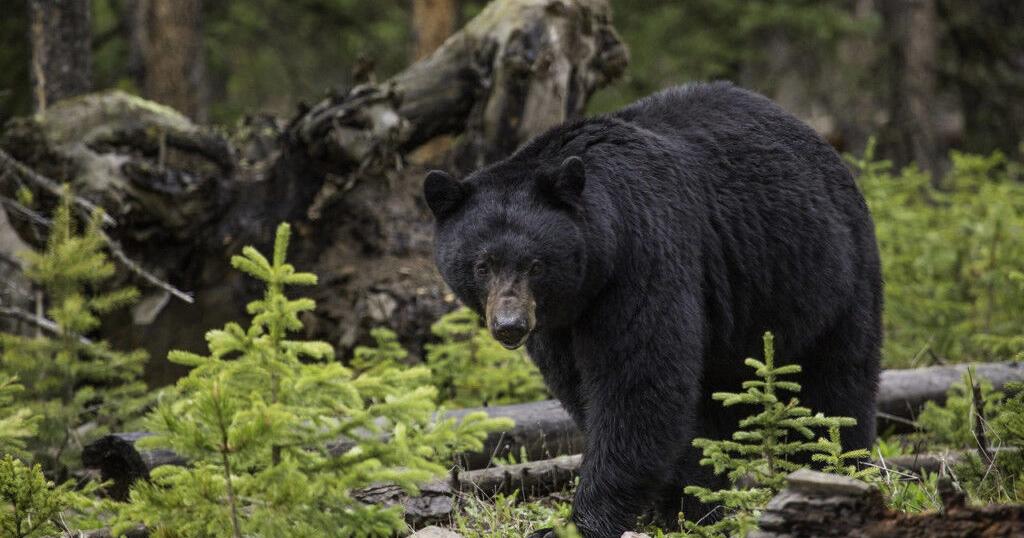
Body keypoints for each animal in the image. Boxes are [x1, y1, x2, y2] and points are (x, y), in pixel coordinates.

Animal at [423, 81, 882, 538]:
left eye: (535, 264)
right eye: (482, 265)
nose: (510, 326)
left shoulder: (643, 257)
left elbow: (639, 383)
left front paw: (585, 519)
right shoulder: (559, 322)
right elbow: (583, 387)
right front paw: (677, 503)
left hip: (827, 277)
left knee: (836, 385)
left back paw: (836, 469)